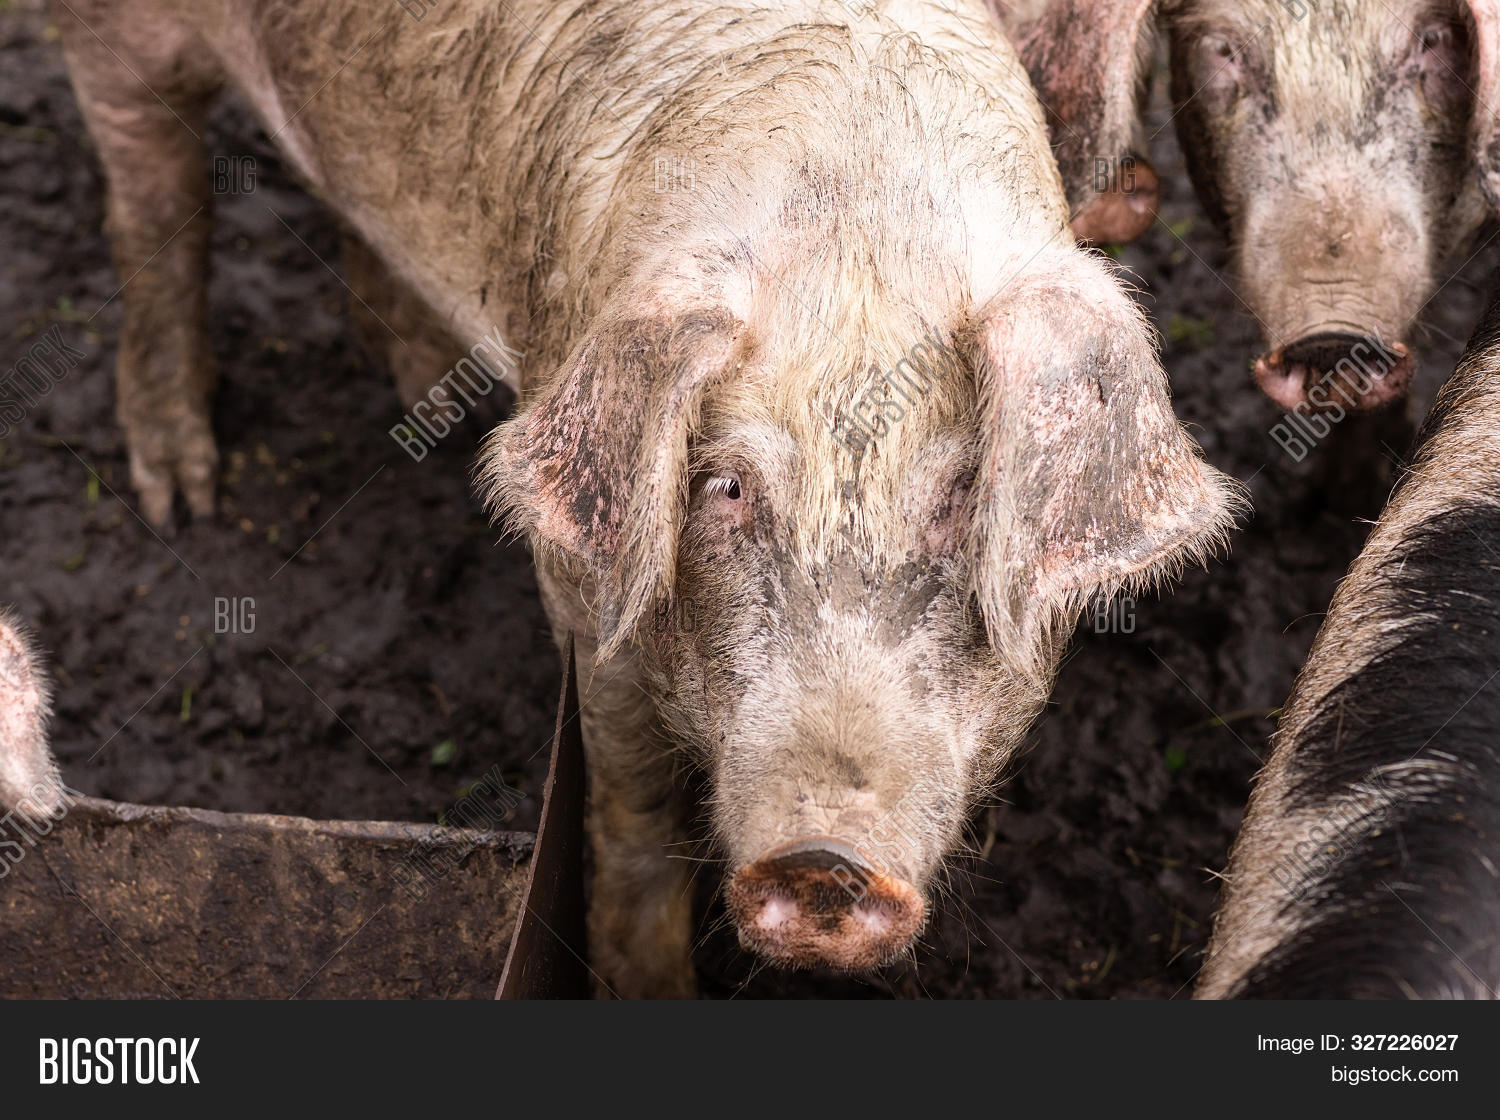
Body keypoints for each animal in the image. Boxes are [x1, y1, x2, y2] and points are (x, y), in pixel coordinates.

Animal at [53, 0, 1238, 997]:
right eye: (724, 487)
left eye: (959, 500)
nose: (823, 859)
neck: (859, 216)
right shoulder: (582, 581)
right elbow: (629, 809)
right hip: (121, 43)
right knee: (149, 209)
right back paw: (183, 499)